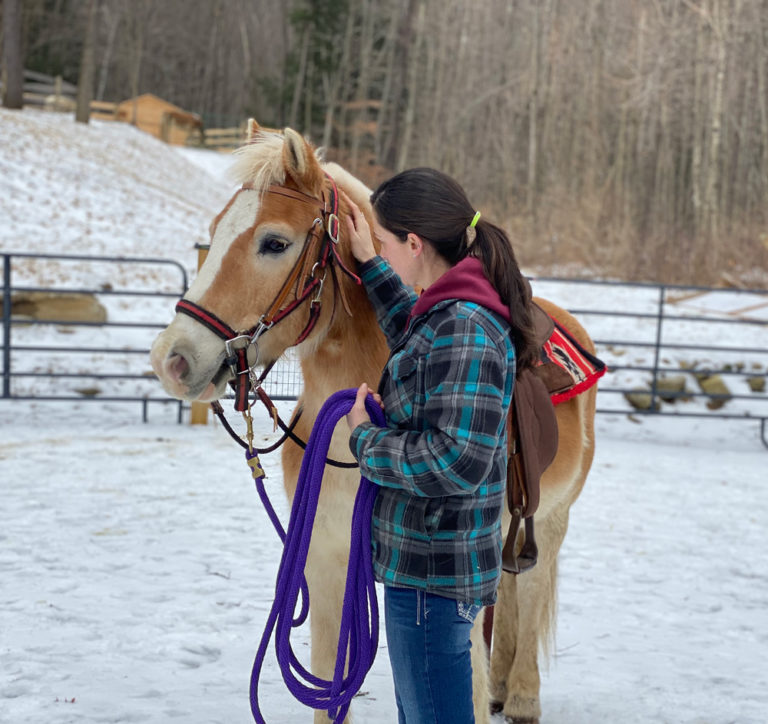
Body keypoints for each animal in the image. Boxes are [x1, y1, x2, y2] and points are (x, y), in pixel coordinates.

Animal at [150, 121, 597, 724]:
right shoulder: (323, 558)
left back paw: (523, 693)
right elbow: (327, 684)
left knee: (531, 589)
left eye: (274, 243)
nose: (172, 359)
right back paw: (506, 684)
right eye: (216, 232)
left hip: (549, 521)